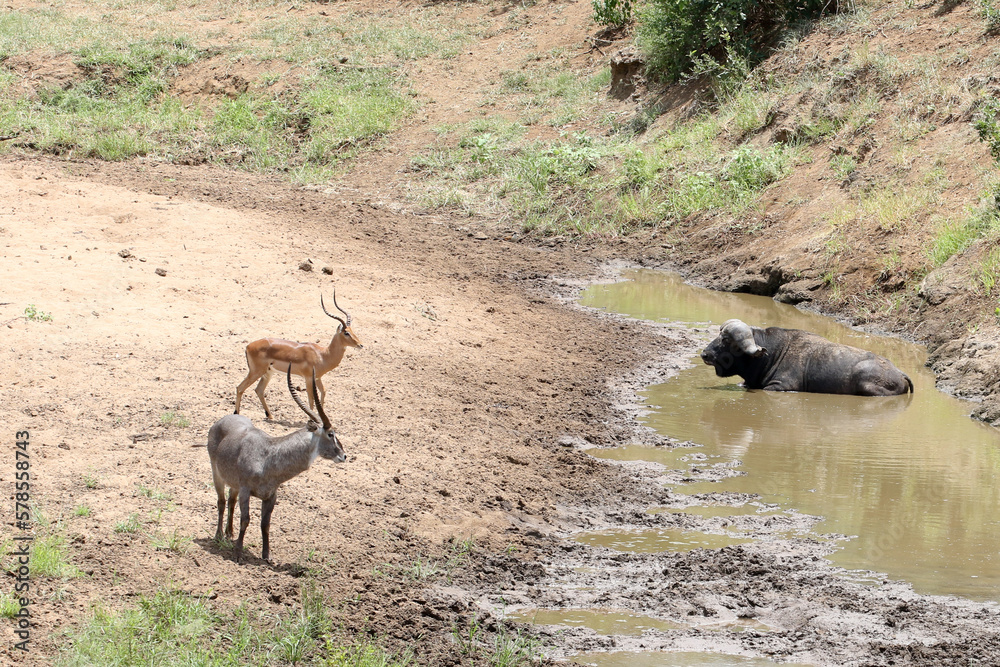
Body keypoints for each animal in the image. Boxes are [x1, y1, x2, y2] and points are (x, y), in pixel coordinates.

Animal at [207, 366, 346, 563]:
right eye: (330, 434)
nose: (343, 455)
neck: (269, 456)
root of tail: (222, 421)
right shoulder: (245, 491)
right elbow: (246, 519)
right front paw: (238, 553)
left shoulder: (271, 496)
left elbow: (265, 524)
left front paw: (267, 555)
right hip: (217, 475)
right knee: (221, 501)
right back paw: (219, 535)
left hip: (233, 483)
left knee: (231, 501)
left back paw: (229, 533)